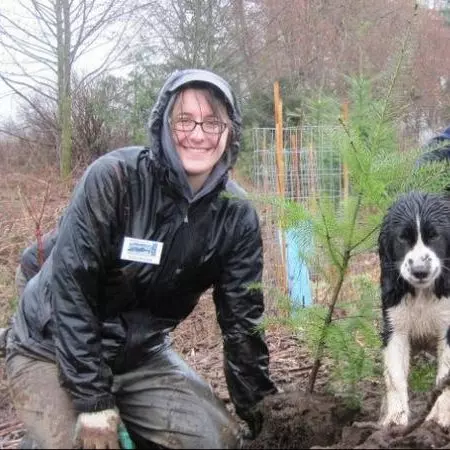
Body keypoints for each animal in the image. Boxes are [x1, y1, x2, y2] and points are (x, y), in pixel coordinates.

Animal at [380, 191, 450, 428]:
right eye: (402, 238)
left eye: (435, 236)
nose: (420, 271)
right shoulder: (395, 326)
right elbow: (395, 377)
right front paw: (395, 420)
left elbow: (445, 378)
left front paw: (439, 418)